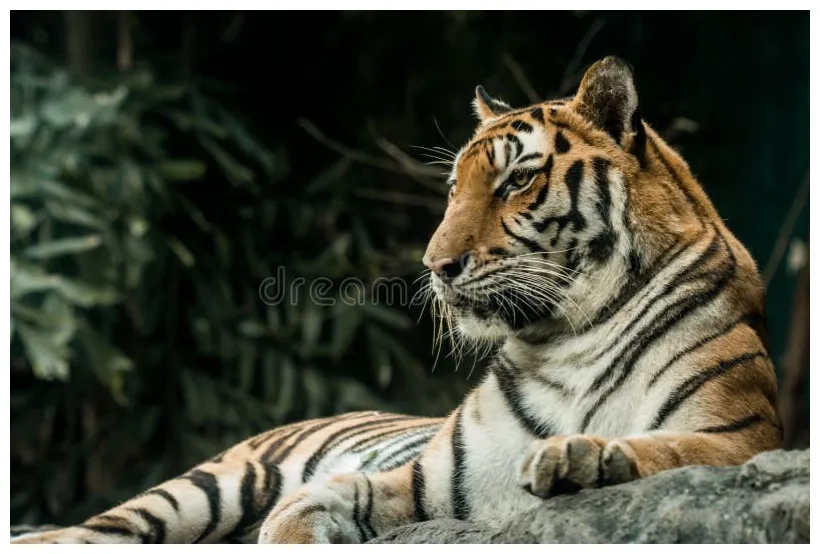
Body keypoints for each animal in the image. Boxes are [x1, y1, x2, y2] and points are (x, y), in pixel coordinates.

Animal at [11, 56, 781, 545]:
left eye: (516, 181)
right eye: (453, 188)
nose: (436, 265)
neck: (567, 337)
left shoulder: (738, 435)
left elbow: (665, 447)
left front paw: (579, 457)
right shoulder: (429, 481)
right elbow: (317, 501)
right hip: (210, 484)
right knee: (94, 529)